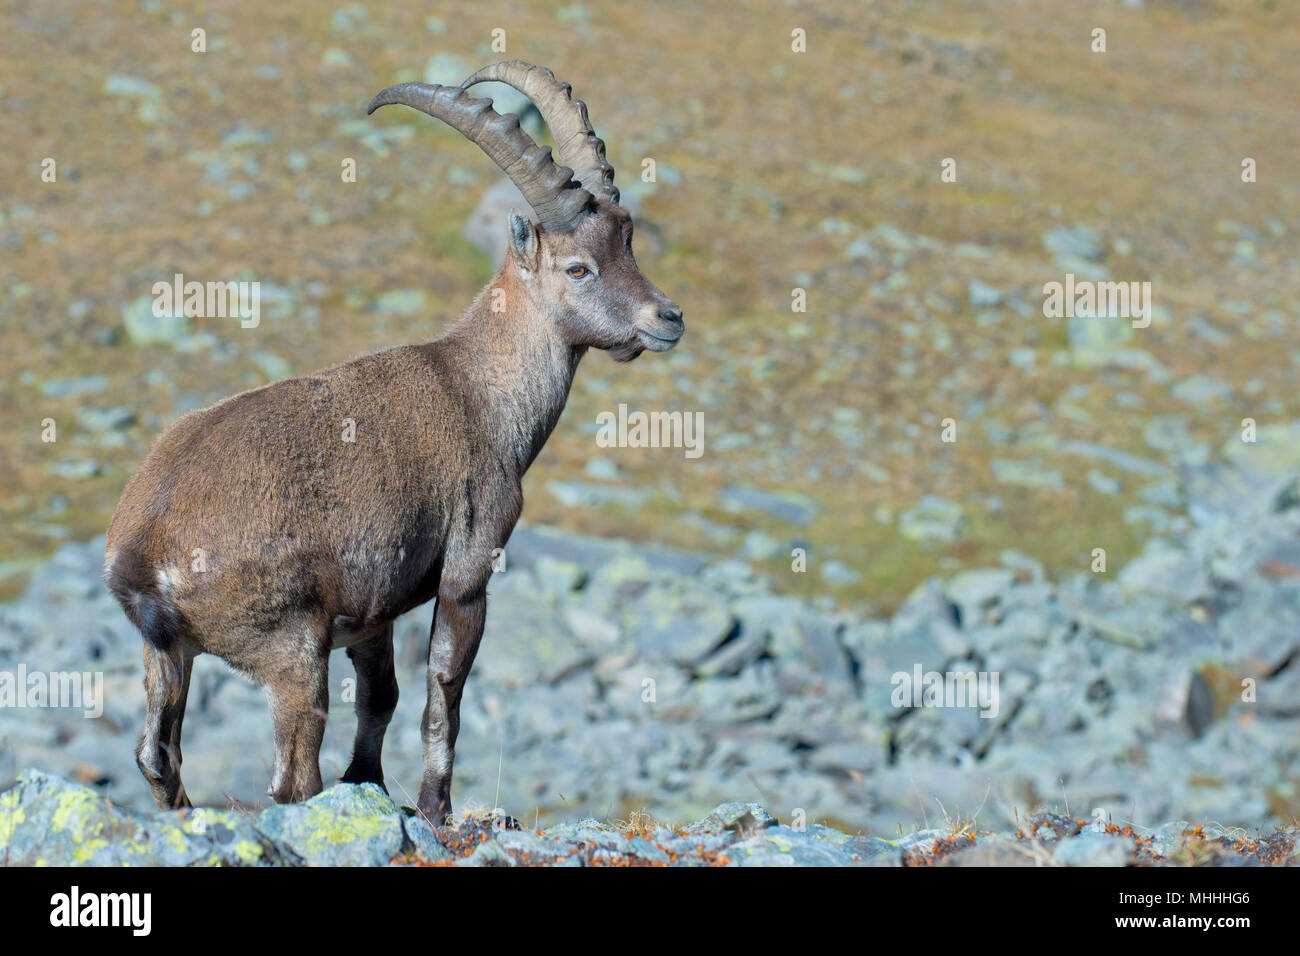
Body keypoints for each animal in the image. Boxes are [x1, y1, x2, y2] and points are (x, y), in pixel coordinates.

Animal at [104, 61, 684, 822]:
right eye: (578, 268)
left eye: (629, 243)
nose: (668, 318)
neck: (479, 387)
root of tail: (143, 549)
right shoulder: (469, 567)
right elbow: (443, 692)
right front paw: (435, 807)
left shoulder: (372, 610)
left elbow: (381, 697)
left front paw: (371, 786)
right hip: (292, 649)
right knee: (290, 779)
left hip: (169, 656)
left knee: (157, 755)